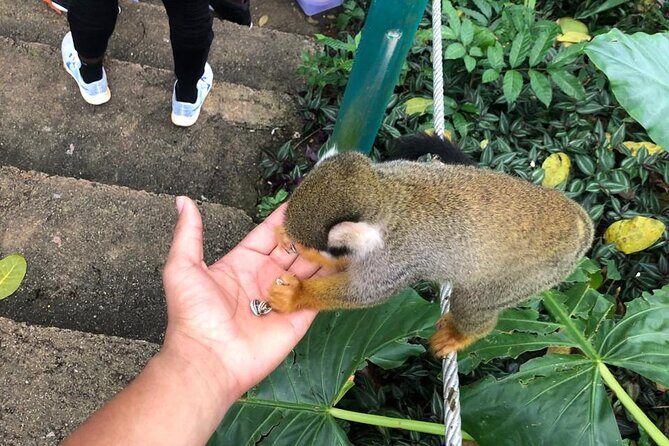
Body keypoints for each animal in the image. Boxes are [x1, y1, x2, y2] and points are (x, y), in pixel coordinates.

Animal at [267, 134, 594, 357]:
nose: (297, 245)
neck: (387, 199)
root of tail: (580, 222)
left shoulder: (396, 256)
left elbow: (366, 293)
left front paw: (297, 294)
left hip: (534, 273)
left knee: (474, 301)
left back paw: (466, 333)